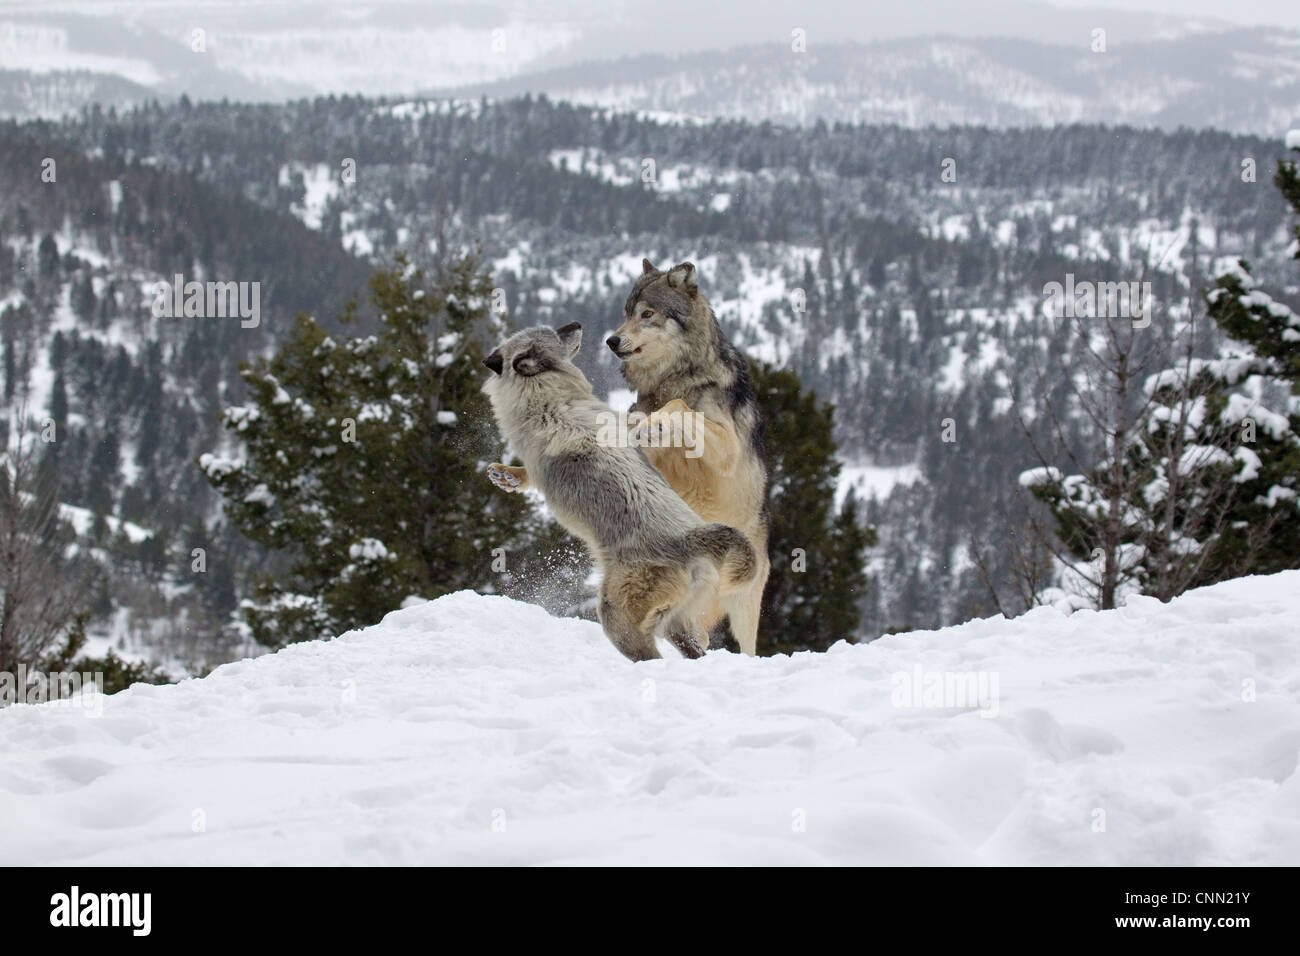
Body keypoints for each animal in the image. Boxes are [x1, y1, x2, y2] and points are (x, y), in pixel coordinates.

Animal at [481, 322, 758, 662]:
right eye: (556, 333)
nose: (577, 324)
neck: (547, 398)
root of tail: (687, 541)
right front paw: (504, 476)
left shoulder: (540, 464)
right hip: (676, 627)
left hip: (617, 619)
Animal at [606, 259, 770, 656]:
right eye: (626, 313)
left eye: (647, 313)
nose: (612, 340)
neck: (677, 375)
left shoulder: (726, 447)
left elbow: (679, 408)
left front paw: (657, 421)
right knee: (696, 632)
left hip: (743, 606)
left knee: (745, 647)